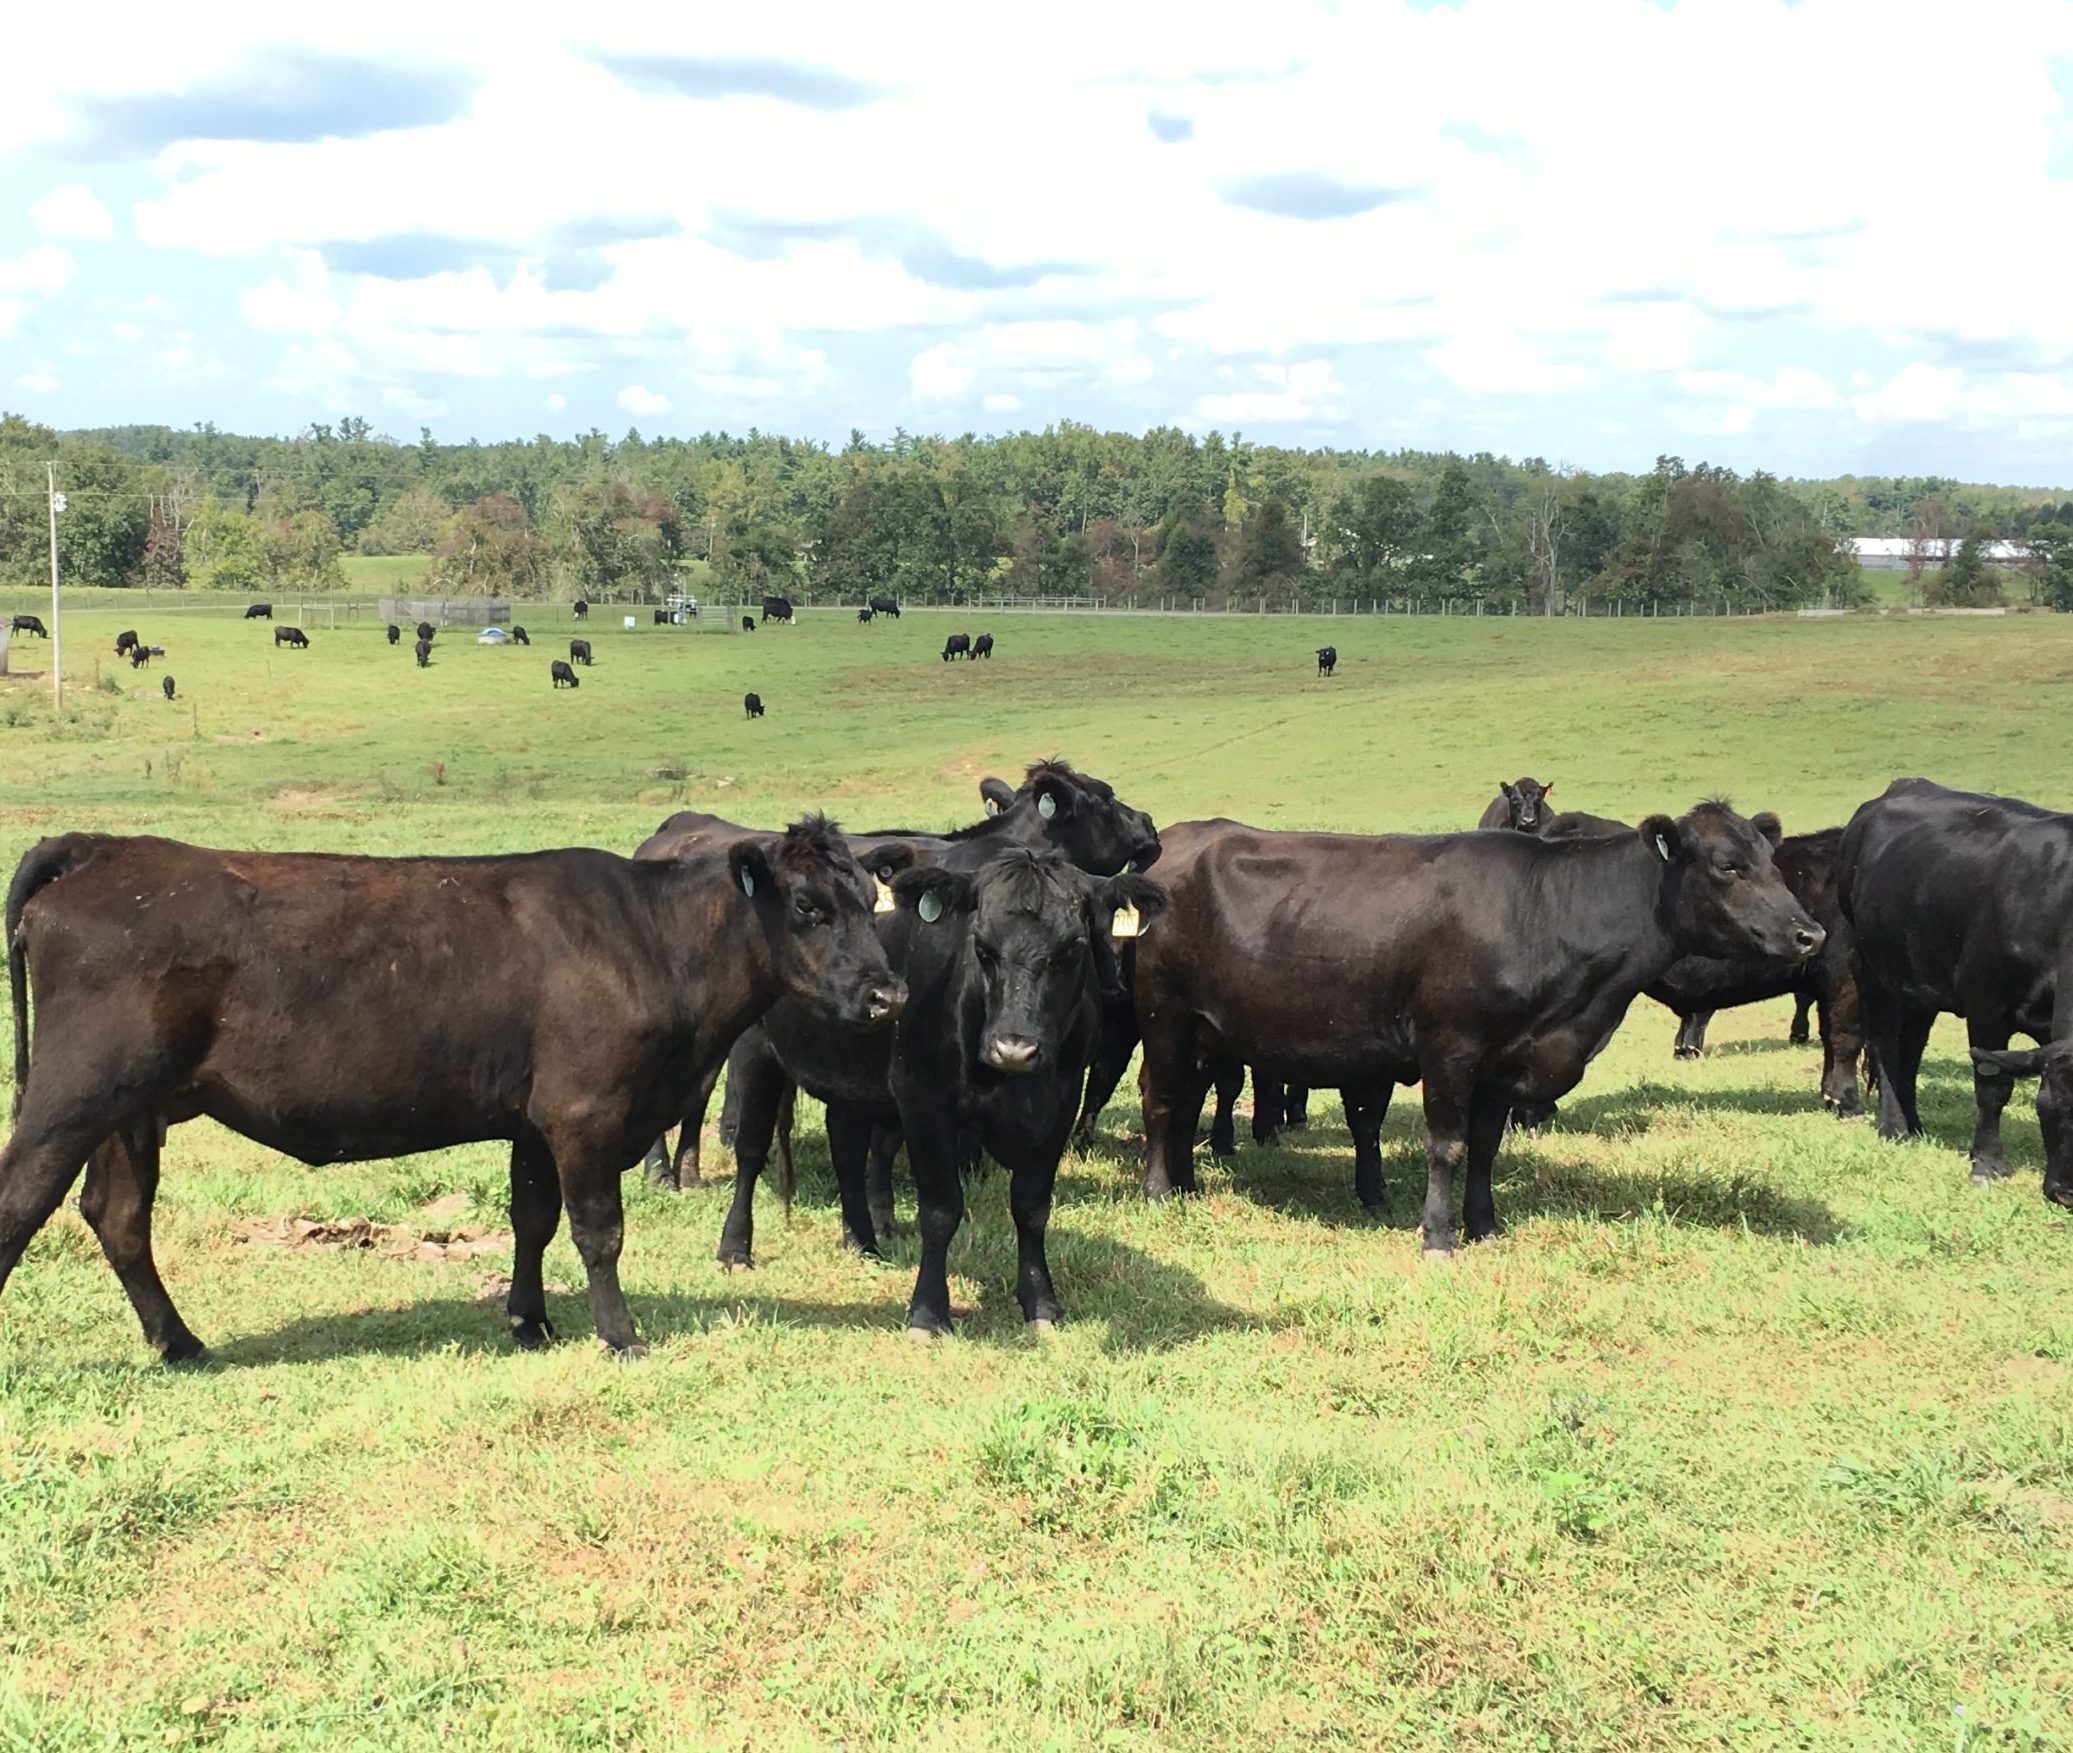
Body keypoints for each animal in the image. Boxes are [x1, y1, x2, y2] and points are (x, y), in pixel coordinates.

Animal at [0, 822, 907, 1358]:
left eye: (870, 899)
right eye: (807, 905)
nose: (888, 994)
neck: (651, 937)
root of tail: (98, 846)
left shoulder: (534, 1121)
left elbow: (534, 1220)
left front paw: (530, 1321)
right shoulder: (586, 1110)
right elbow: (599, 1231)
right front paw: (619, 1335)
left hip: (131, 1112)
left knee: (118, 1218)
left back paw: (181, 1341)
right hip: (71, 1095)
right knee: (22, 1203)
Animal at [1132, 805, 1822, 1250]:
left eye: (1772, 861)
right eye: (1728, 865)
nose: (1809, 933)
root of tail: (1178, 843)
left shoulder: (1505, 1061)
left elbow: (1486, 1147)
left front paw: (1484, 1224)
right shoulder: (1450, 1048)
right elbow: (1448, 1144)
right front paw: (1438, 1233)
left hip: (1206, 1030)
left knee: (1188, 1101)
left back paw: (1187, 1183)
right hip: (1165, 1014)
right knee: (1162, 1101)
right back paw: (1159, 1191)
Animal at [1839, 778, 2073, 1207]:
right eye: (2048, 1108)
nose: (2064, 1194)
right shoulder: (1986, 1005)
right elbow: (1993, 1087)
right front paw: (1987, 1163)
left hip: (1916, 983)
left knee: (1910, 1052)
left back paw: (1914, 1124)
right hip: (1869, 968)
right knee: (1885, 1047)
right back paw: (1894, 1127)